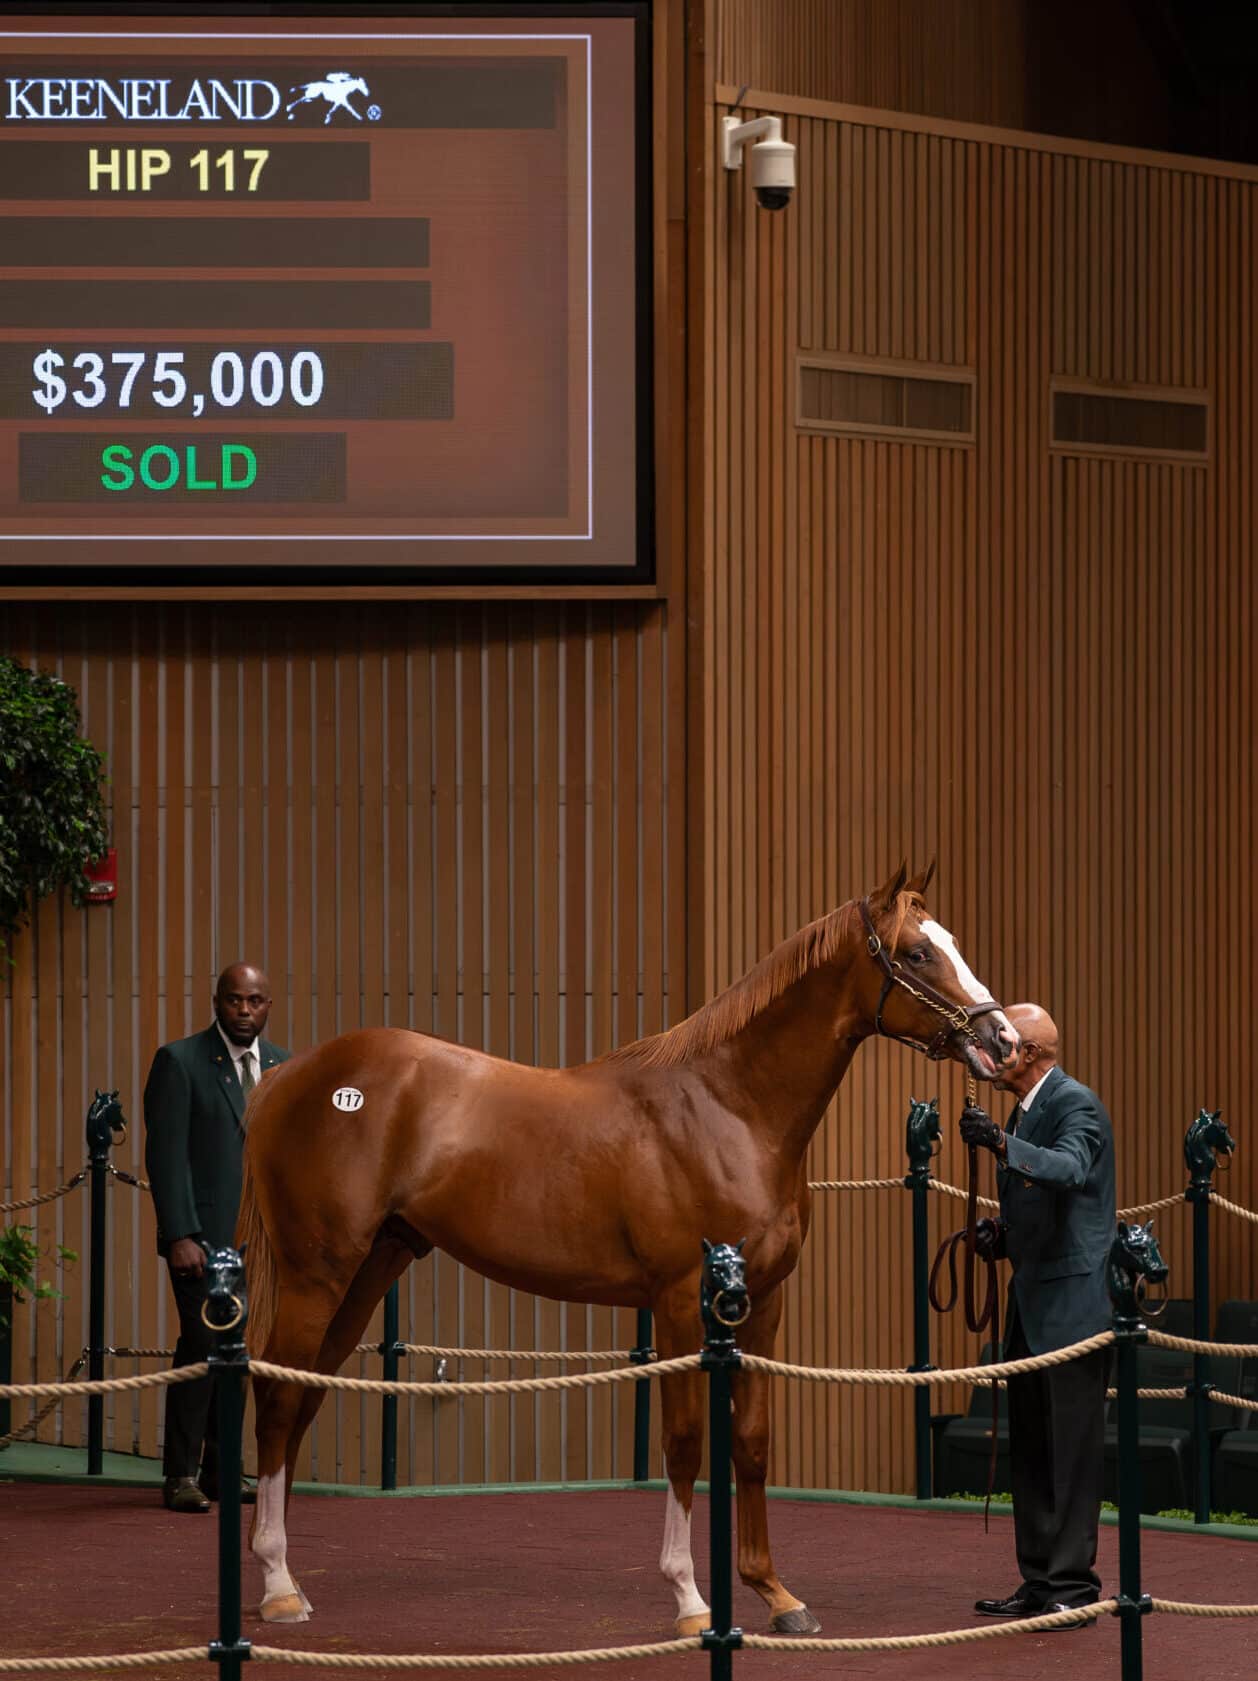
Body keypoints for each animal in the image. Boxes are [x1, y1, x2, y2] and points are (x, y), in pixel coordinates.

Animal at [236, 863, 1019, 1632]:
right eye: (916, 953)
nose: (1003, 1040)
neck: (729, 1108)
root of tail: (285, 1076)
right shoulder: (678, 1301)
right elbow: (684, 1440)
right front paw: (691, 1599)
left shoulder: (763, 1302)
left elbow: (752, 1440)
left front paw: (775, 1593)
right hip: (316, 1275)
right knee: (276, 1395)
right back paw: (277, 1587)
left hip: (370, 1268)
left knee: (304, 1395)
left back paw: (289, 1581)